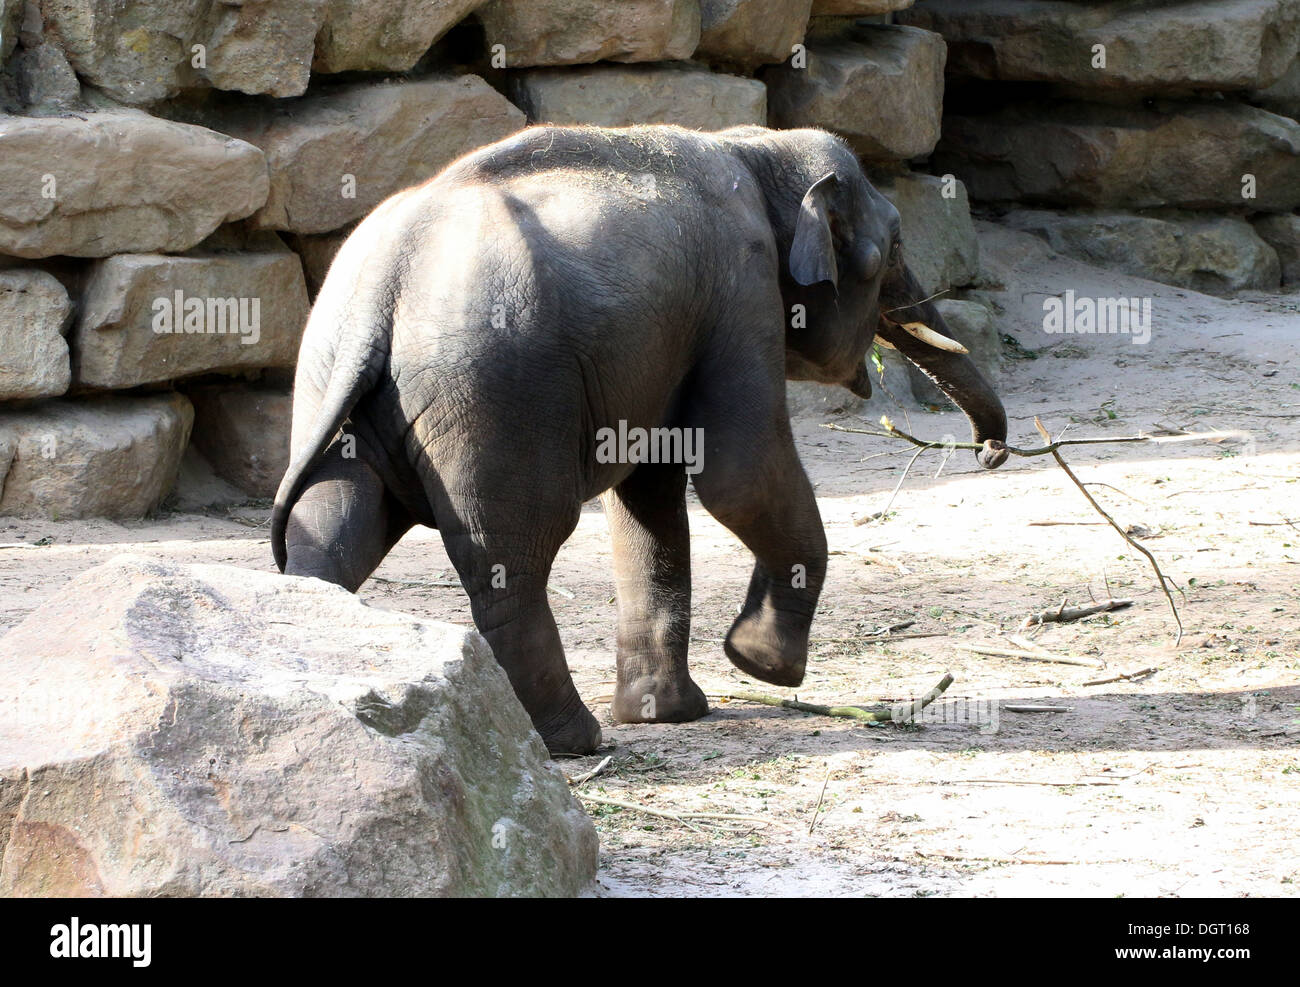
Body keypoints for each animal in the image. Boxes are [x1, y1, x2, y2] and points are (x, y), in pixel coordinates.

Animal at [271, 124, 1008, 756]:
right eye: (895, 247)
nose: (990, 452)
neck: (753, 148)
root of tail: (382, 284)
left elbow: (650, 496)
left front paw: (669, 711)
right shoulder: (742, 293)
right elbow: (740, 476)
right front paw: (763, 664)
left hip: (338, 383)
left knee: (337, 524)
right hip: (496, 393)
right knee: (514, 554)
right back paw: (575, 739)